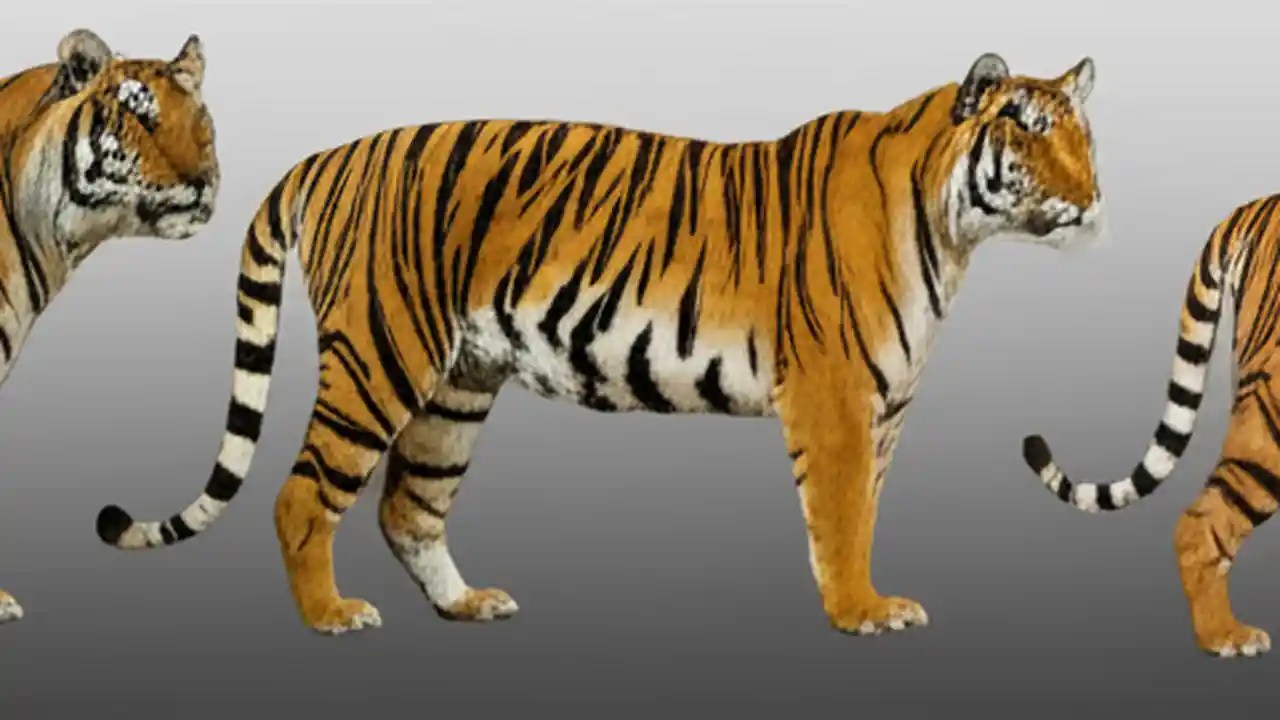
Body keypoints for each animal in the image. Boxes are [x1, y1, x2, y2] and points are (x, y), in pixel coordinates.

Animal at [99, 52, 1103, 637]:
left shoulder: (884, 409)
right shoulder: (837, 400)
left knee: (409, 507)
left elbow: (867, 511)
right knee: (304, 496)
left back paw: (466, 604)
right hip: (381, 357)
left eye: (1088, 140)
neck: (954, 232)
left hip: (457, 384)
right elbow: (843, 517)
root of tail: (324, 157)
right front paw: (863, 611)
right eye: (1032, 137)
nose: (1094, 201)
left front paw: (865, 600)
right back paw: (332, 616)